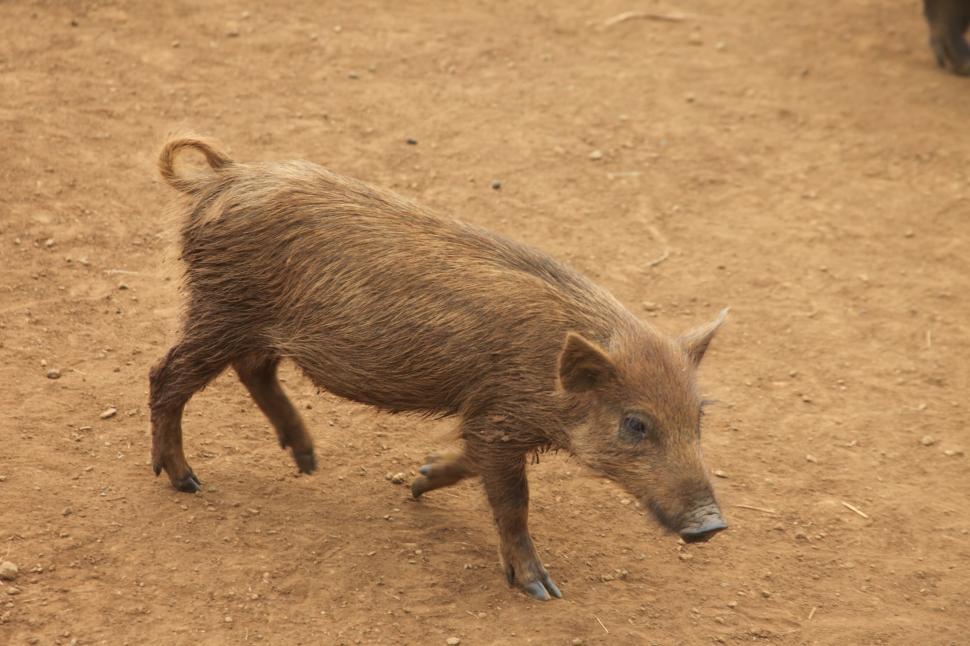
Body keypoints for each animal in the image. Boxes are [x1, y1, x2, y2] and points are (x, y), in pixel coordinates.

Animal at [150, 134, 729, 600]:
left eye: (698, 419)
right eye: (636, 424)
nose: (712, 526)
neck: (549, 374)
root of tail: (221, 177)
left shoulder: (489, 419)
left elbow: (471, 461)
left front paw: (418, 481)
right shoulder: (499, 418)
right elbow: (513, 502)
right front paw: (542, 591)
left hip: (250, 322)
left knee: (254, 369)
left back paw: (308, 463)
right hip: (220, 309)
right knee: (166, 376)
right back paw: (187, 482)